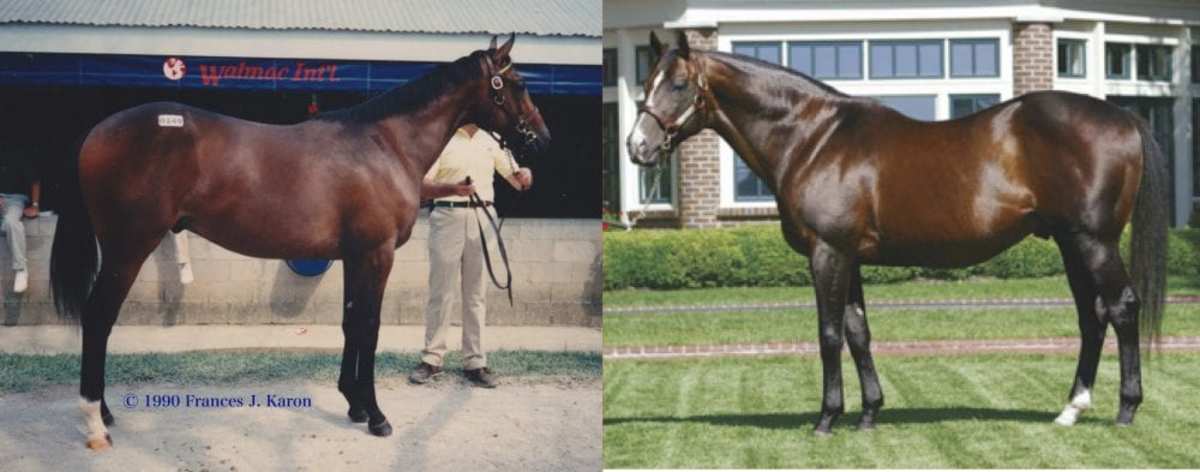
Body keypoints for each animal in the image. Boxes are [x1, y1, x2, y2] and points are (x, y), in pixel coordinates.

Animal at [50, 34, 550, 450]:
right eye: (519, 82)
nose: (542, 138)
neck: (385, 144)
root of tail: (97, 131)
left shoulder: (353, 257)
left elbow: (351, 324)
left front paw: (354, 404)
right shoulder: (377, 255)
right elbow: (370, 328)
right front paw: (377, 416)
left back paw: (105, 412)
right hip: (128, 247)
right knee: (99, 318)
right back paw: (94, 422)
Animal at [627, 31, 1167, 435]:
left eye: (678, 85)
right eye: (646, 82)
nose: (637, 148)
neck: (813, 139)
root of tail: (1123, 115)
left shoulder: (827, 253)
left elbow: (828, 333)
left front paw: (827, 418)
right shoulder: (850, 257)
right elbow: (858, 332)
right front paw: (868, 413)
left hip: (1093, 241)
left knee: (1121, 308)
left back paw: (1126, 409)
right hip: (1070, 242)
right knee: (1092, 317)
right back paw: (1071, 409)